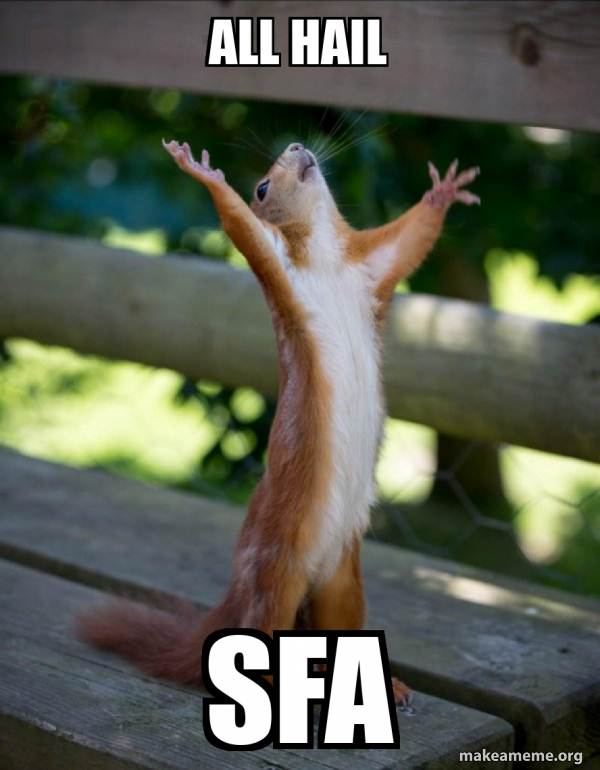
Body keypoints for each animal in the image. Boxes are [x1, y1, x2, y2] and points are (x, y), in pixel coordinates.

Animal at [77, 138, 480, 707]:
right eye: (262, 187)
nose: (296, 146)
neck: (328, 260)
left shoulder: (372, 267)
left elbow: (410, 239)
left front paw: (443, 191)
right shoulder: (277, 265)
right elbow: (240, 226)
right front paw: (203, 173)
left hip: (344, 587)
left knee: (338, 634)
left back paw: (384, 684)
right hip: (275, 574)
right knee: (263, 631)